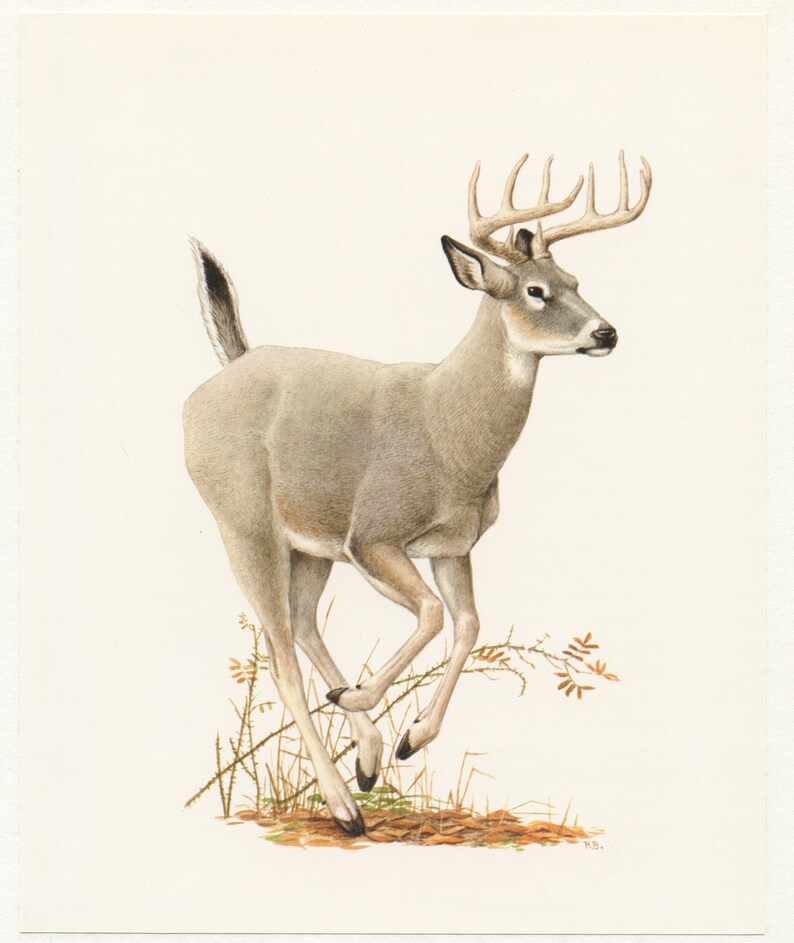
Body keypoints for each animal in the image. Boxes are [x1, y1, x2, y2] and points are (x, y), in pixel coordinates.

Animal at [184, 151, 652, 836]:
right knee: (280, 654)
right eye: (535, 291)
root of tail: (221, 375)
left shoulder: (452, 545)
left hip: (310, 544)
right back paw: (346, 805)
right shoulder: (374, 534)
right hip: (244, 523)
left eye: (574, 278)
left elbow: (469, 623)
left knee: (302, 623)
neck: (448, 432)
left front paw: (411, 736)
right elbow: (433, 614)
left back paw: (369, 757)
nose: (607, 333)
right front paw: (370, 705)